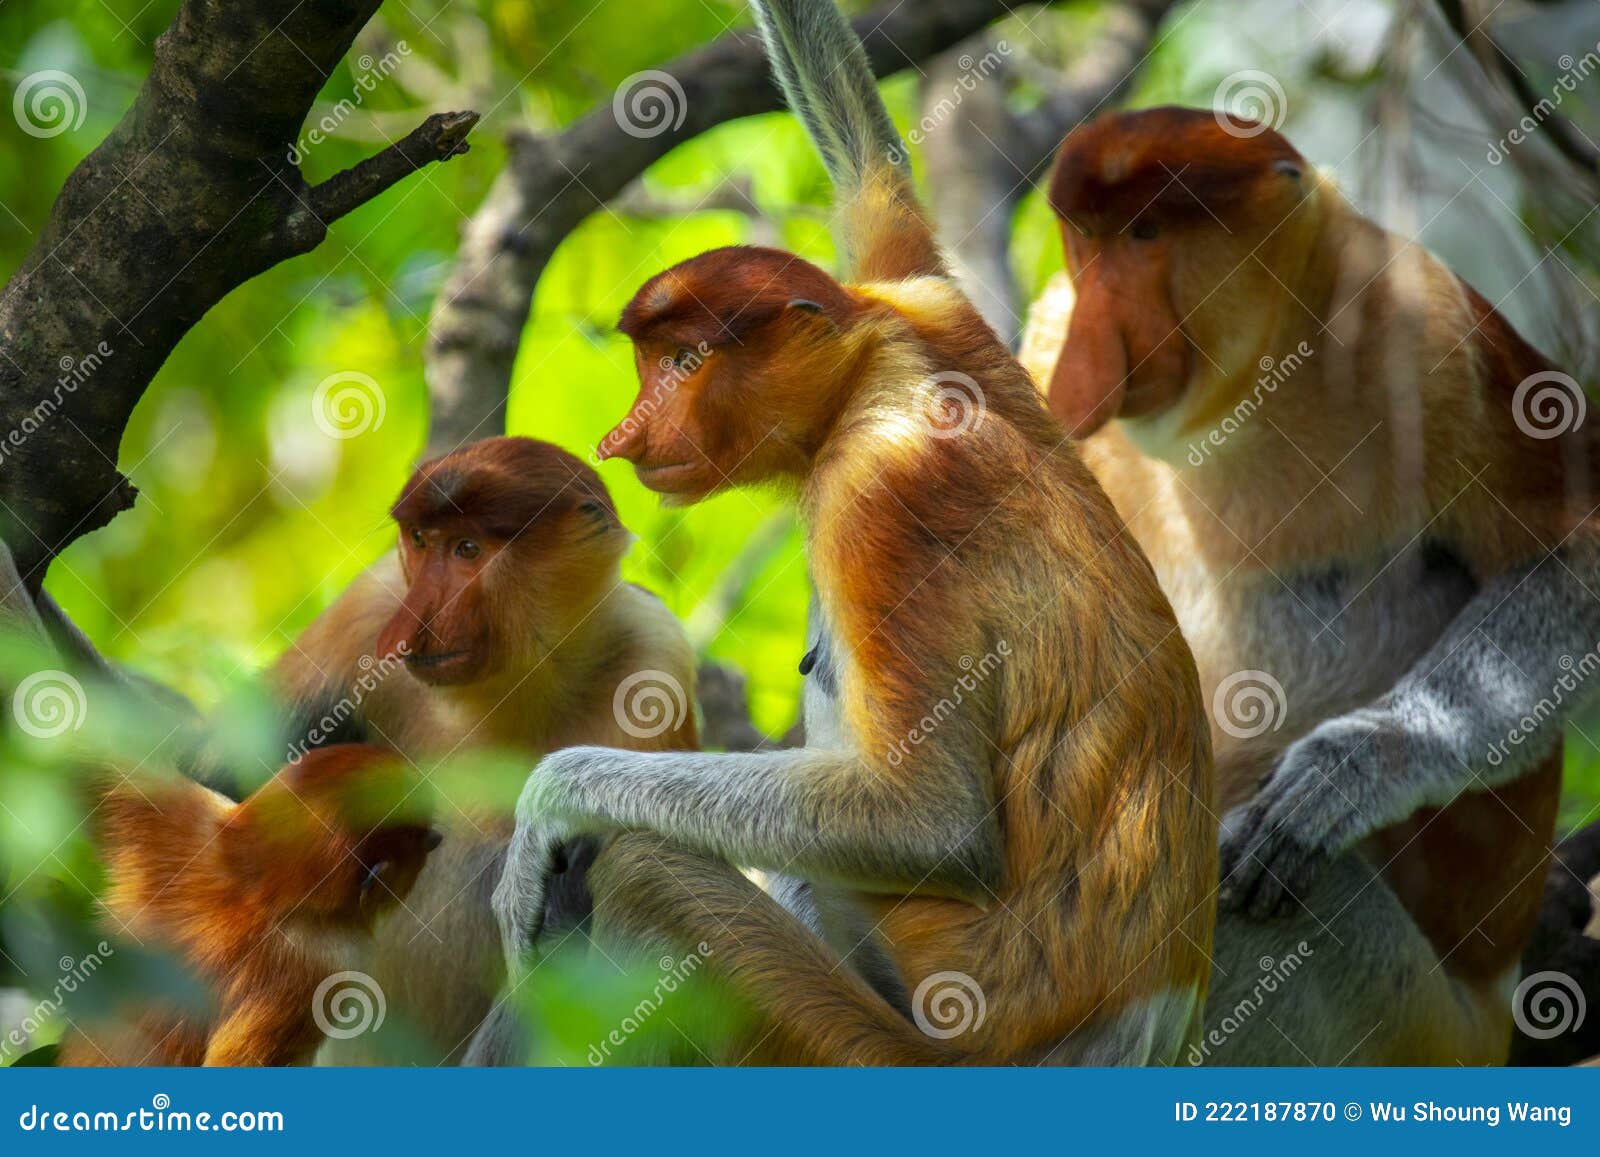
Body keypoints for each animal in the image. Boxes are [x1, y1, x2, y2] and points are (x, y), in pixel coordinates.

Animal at [478, 0, 1215, 1067]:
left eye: (685, 360)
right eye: (652, 360)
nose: (629, 434)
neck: (874, 373)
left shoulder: (881, 492)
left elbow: (930, 825)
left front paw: (548, 805)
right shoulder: (919, 296)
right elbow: (865, 156)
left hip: (857, 1047)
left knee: (644, 869)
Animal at [1018, 105, 1600, 1063]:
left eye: (1145, 235)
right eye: (1086, 243)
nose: (1096, 351)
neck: (1234, 402)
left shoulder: (1429, 326)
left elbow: (1573, 560)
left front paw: (1334, 781)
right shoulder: (1044, 340)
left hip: (1408, 1018)